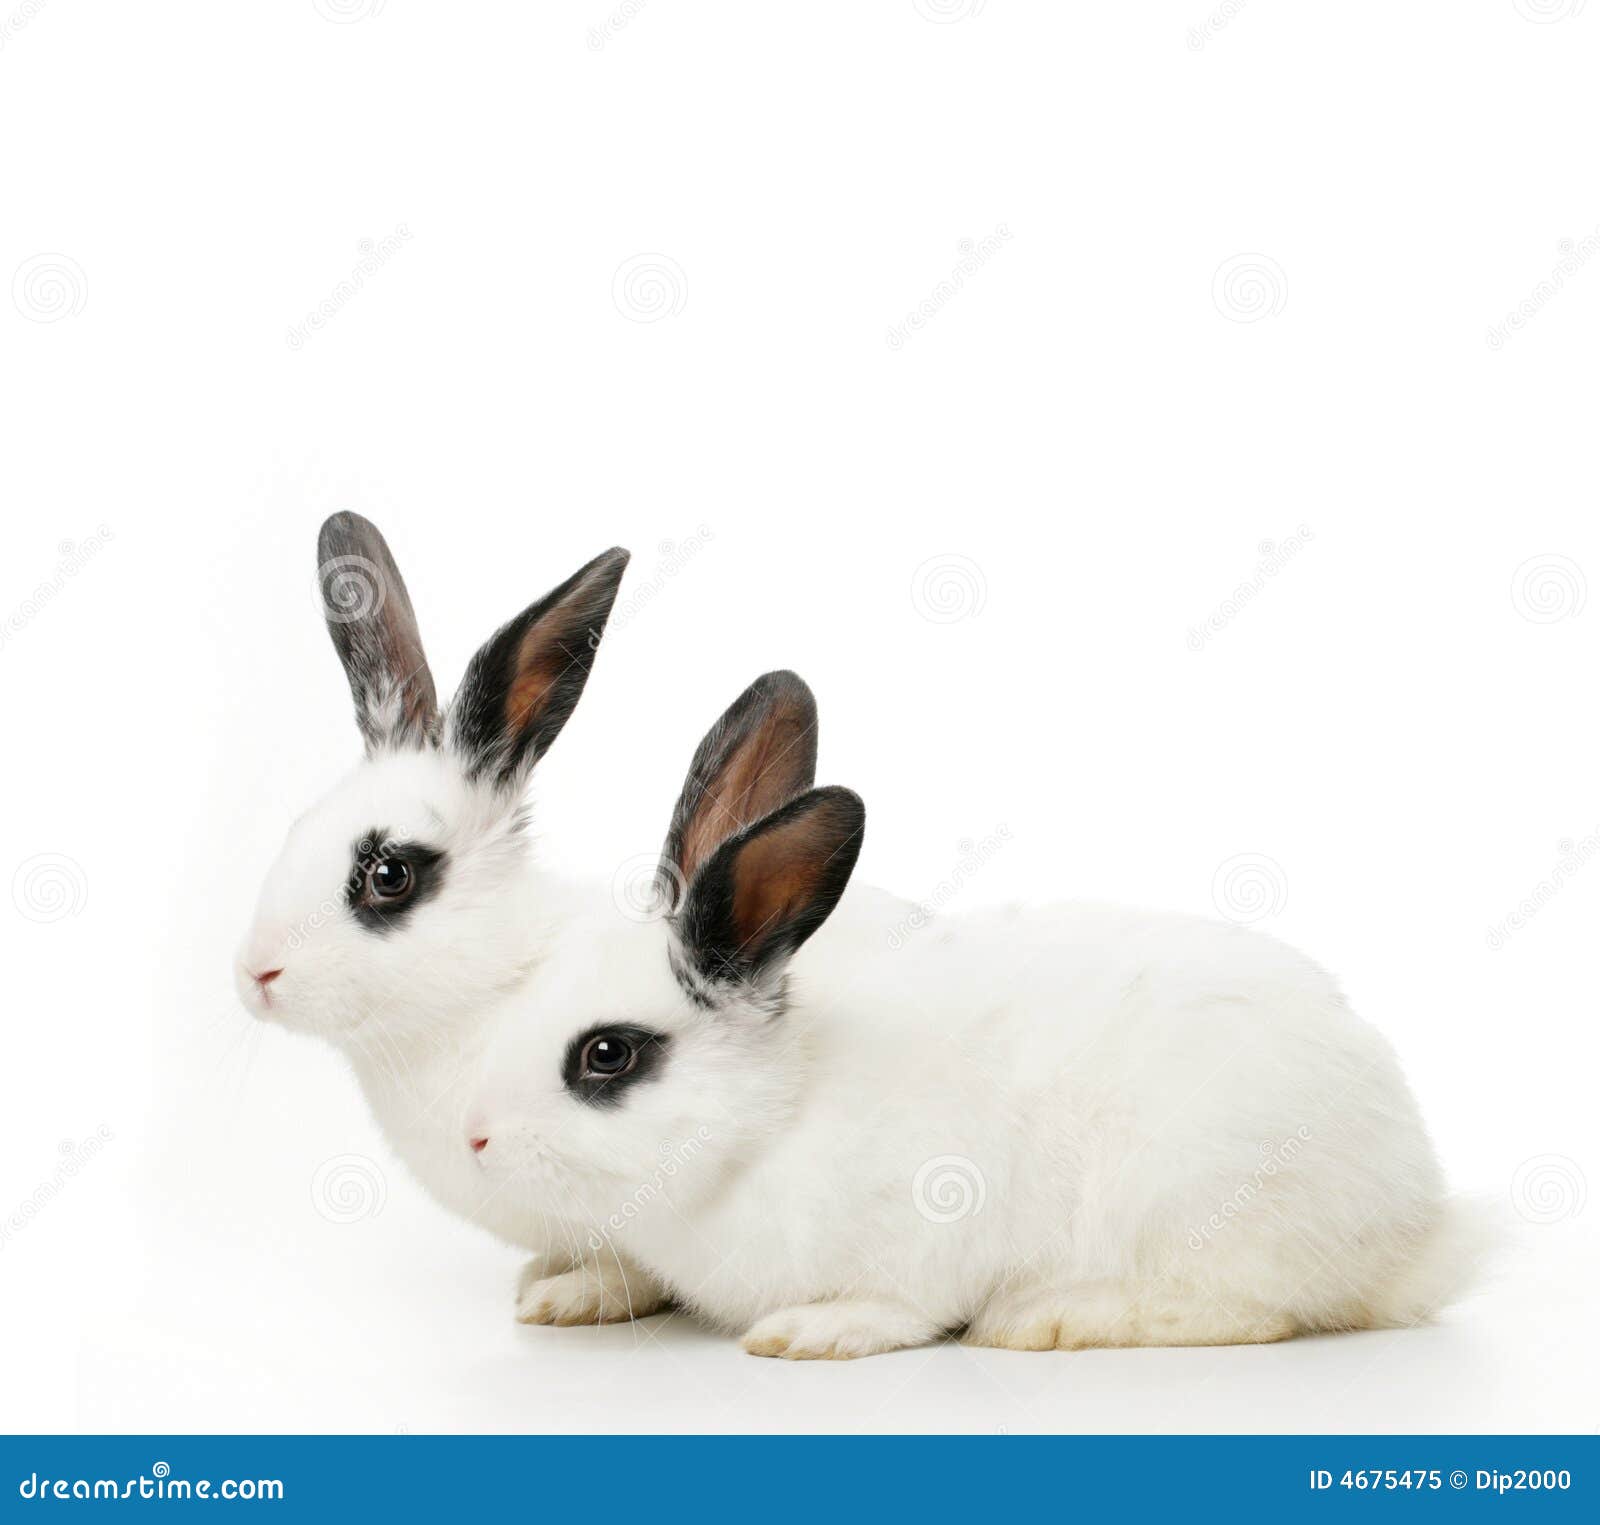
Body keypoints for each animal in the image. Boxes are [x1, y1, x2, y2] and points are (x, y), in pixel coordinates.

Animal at [234, 512, 670, 1321]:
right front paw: (539, 1277)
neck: (495, 981)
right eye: (298, 828)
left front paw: (565, 1300)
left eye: (389, 875)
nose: (256, 973)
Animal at [465, 670, 1483, 1359]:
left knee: (1251, 1311)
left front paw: (813, 1332)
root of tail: (1416, 1222)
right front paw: (566, 1293)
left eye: (607, 1054)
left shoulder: (924, 1229)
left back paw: (1049, 1317)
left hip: (1197, 1197)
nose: (474, 1138)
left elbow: (899, 1306)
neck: (768, 1122)